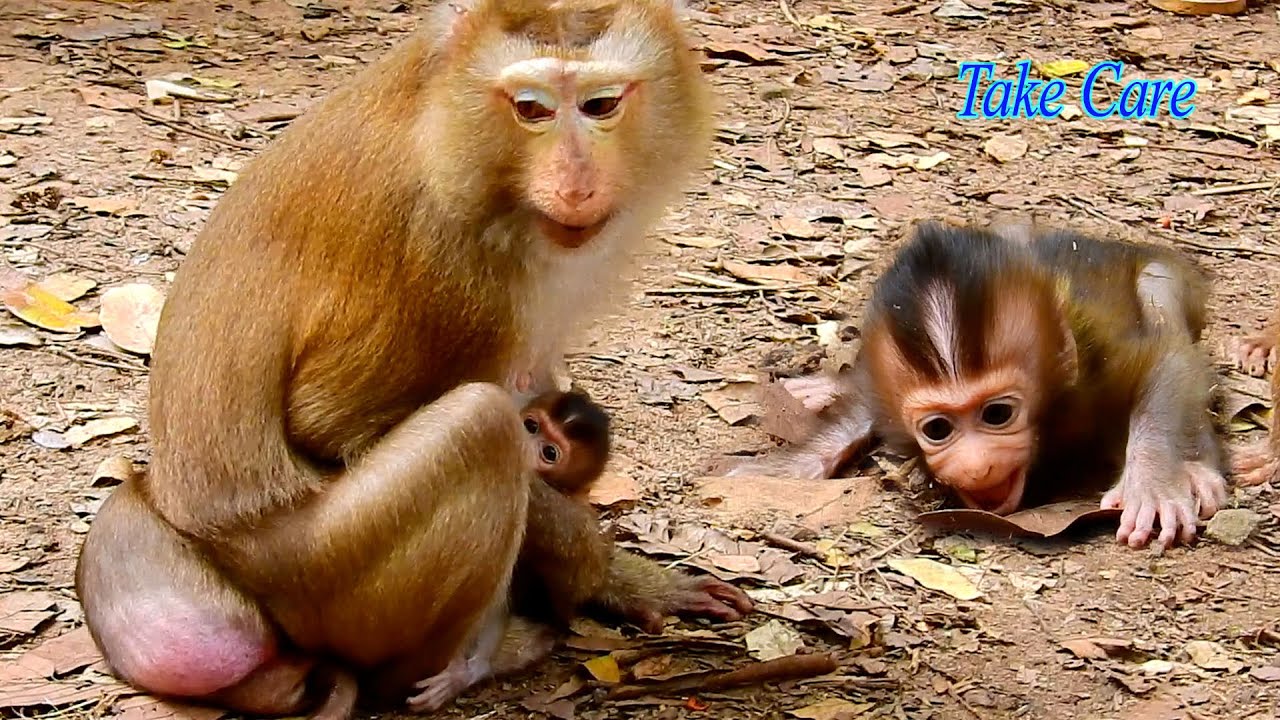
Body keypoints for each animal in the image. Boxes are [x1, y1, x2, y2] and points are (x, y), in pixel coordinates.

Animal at [74, 2, 752, 719]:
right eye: (532, 109)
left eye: (600, 105)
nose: (576, 184)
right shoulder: (446, 260)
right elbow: (329, 427)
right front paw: (591, 566)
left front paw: (631, 579)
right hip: (323, 575)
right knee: (480, 424)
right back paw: (470, 665)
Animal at [719, 221, 1229, 552]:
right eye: (938, 429)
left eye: (997, 415)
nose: (978, 467)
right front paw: (785, 468)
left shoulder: (1095, 363)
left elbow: (1165, 361)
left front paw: (1153, 485)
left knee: (1160, 296)